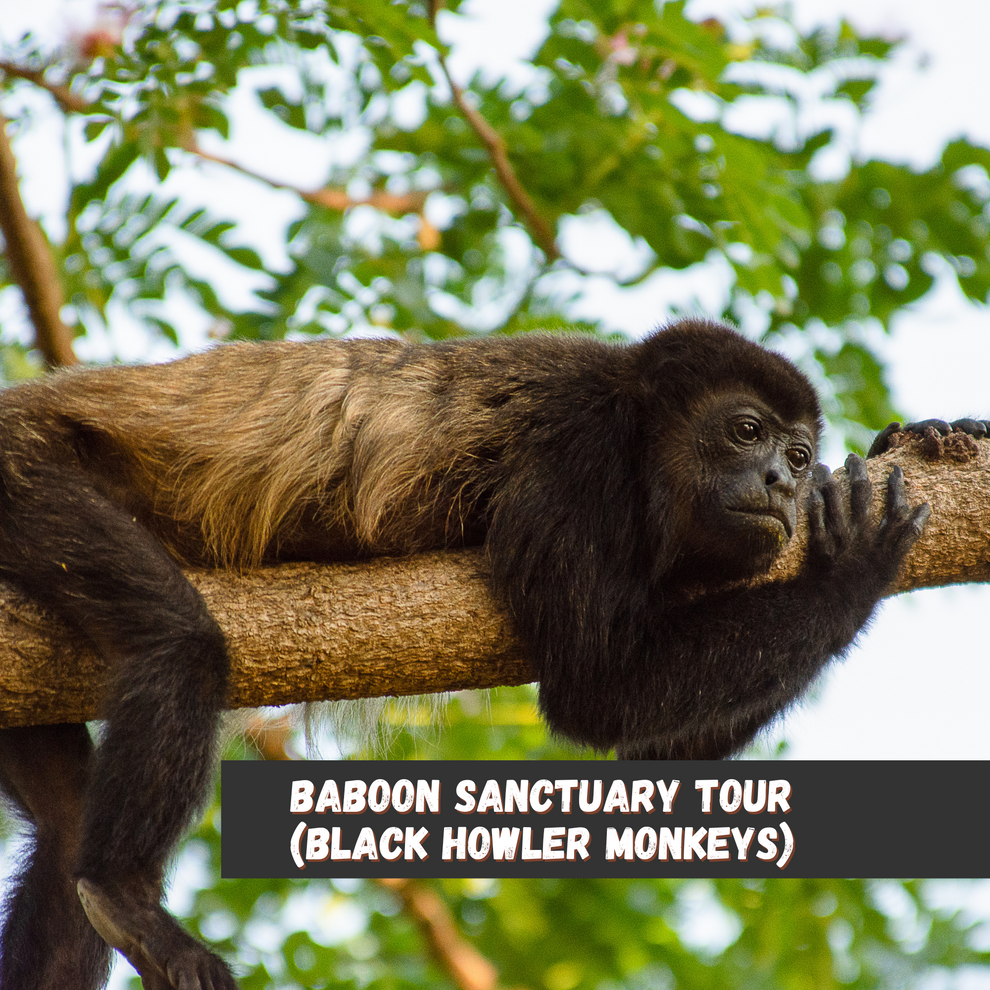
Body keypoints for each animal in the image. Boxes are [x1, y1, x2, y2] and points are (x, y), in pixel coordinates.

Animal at [0, 318, 935, 989]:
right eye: (746, 432)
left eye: (800, 453)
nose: (784, 482)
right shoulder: (578, 454)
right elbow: (593, 689)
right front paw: (857, 564)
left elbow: (646, 758)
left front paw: (931, 432)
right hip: (25, 471)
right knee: (179, 643)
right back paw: (124, 895)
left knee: (66, 819)